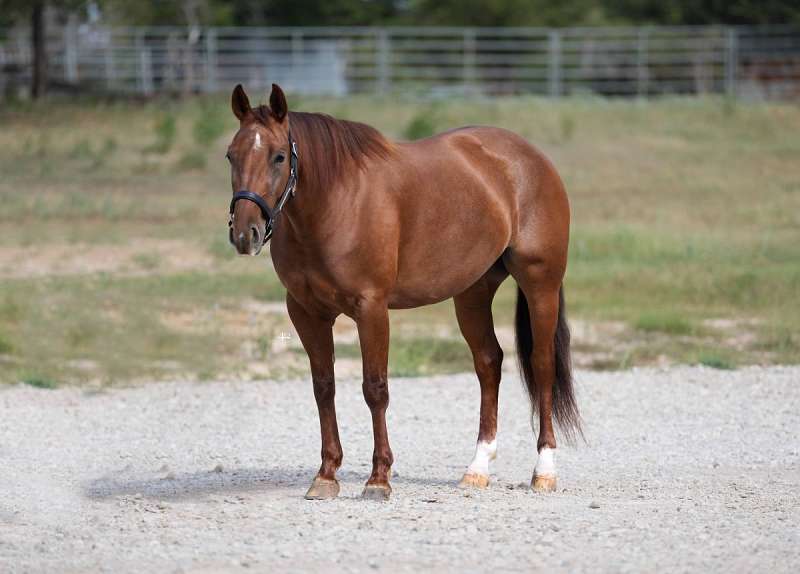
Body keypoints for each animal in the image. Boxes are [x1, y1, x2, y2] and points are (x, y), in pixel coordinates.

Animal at [226, 83, 580, 500]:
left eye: (279, 156)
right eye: (231, 155)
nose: (244, 233)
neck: (336, 202)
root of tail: (531, 157)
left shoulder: (372, 308)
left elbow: (375, 388)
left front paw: (378, 478)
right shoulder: (305, 311)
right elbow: (324, 387)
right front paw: (326, 475)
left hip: (541, 284)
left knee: (541, 366)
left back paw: (544, 471)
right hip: (473, 292)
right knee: (488, 363)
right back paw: (477, 468)